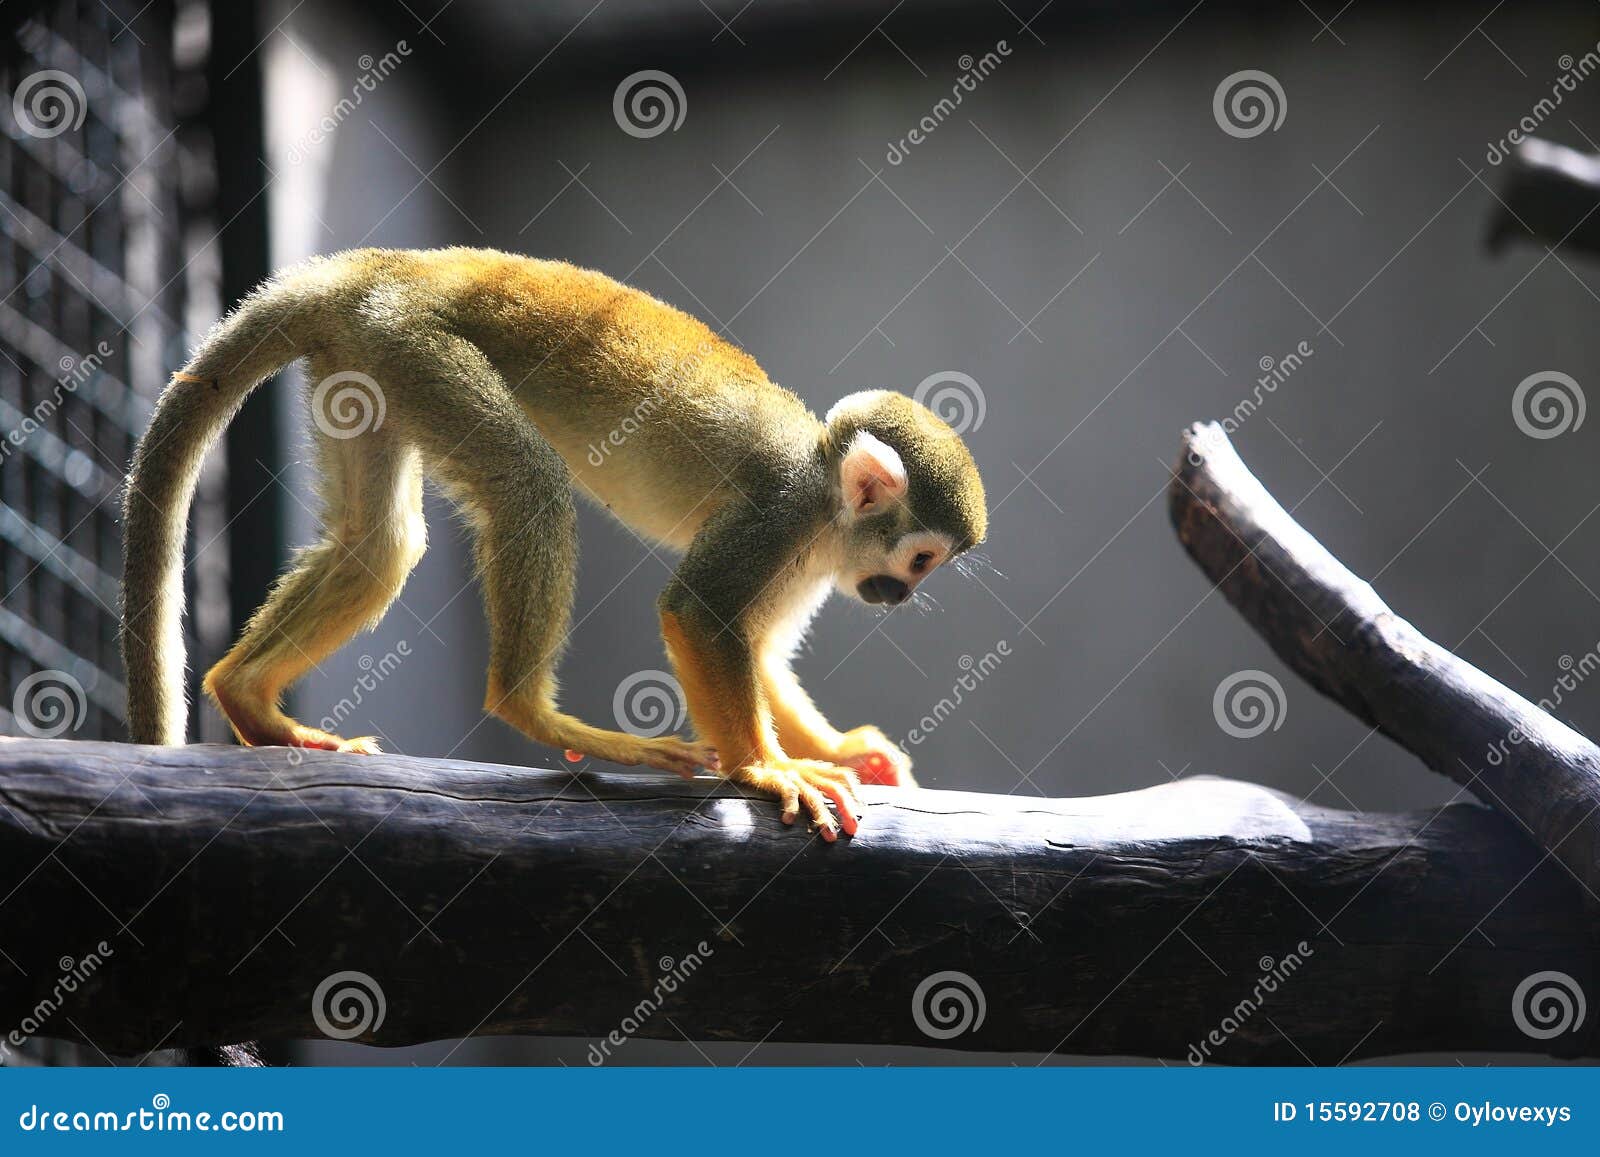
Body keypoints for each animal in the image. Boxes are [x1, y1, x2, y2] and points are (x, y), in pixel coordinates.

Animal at [121, 247, 987, 839]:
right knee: (526, 480)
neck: (826, 493)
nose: (900, 594)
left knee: (379, 546)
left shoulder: (807, 556)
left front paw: (844, 749)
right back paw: (538, 713)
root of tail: (375, 267)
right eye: (920, 559)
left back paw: (247, 696)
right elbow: (699, 613)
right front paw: (765, 766)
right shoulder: (777, 513)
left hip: (366, 363)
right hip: (417, 346)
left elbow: (764, 654)